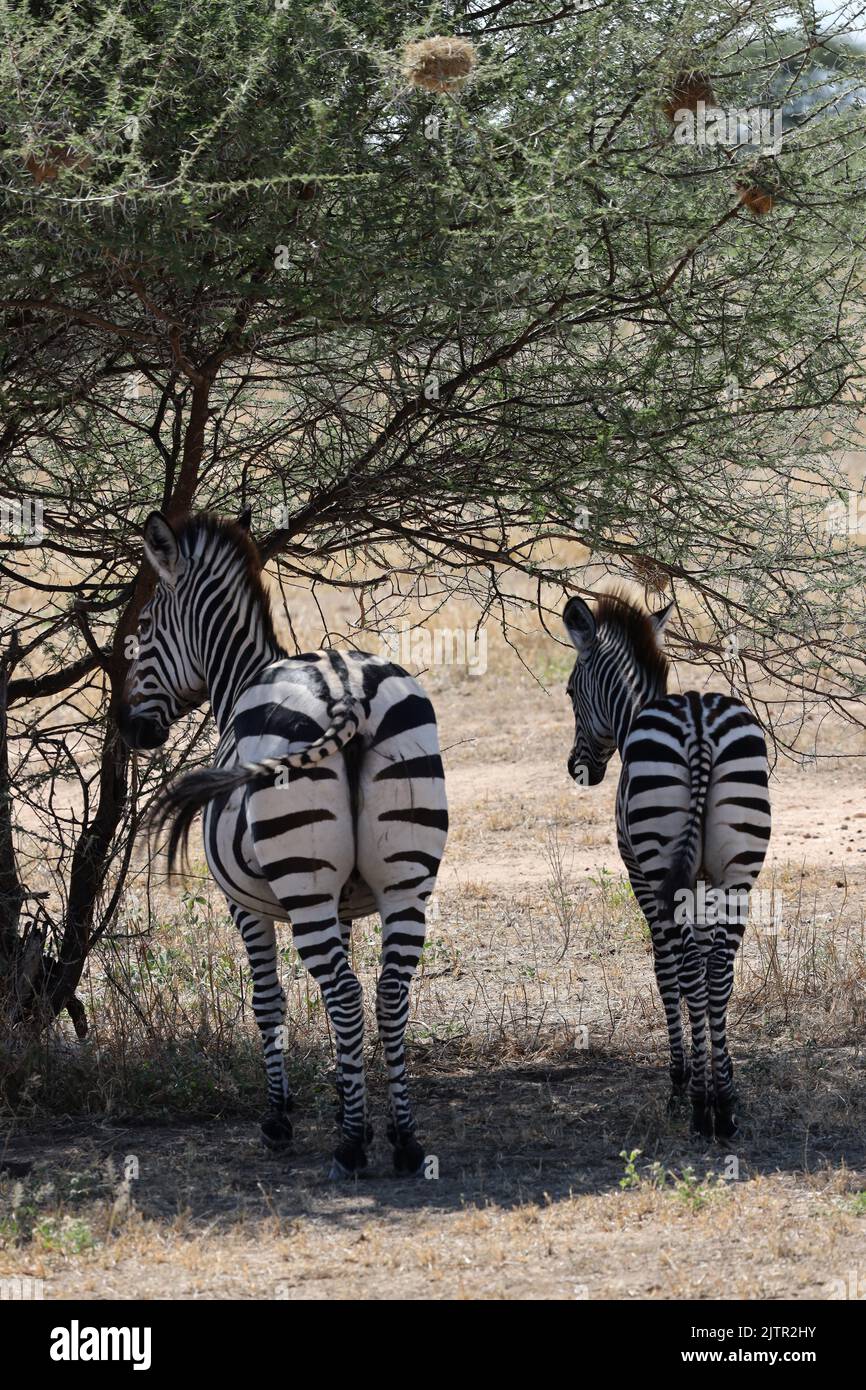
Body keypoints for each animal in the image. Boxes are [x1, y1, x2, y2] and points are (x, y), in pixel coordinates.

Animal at [119, 509, 448, 1178]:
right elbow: (329, 1003)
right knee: (387, 993)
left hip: (302, 880)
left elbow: (268, 1002)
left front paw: (282, 1118)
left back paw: (349, 1150)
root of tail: (345, 689)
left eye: (142, 628)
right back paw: (403, 1140)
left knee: (346, 993)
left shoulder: (246, 905)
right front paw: (351, 1102)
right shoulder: (343, 901)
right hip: (406, 878)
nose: (130, 729)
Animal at [561, 588, 771, 1140]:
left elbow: (666, 969)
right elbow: (703, 963)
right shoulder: (701, 880)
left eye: (569, 691)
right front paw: (717, 1075)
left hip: (659, 861)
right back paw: (725, 1105)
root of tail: (697, 720)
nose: (577, 770)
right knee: (718, 969)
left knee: (690, 969)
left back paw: (699, 1105)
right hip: (741, 869)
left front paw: (681, 1081)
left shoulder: (640, 873)